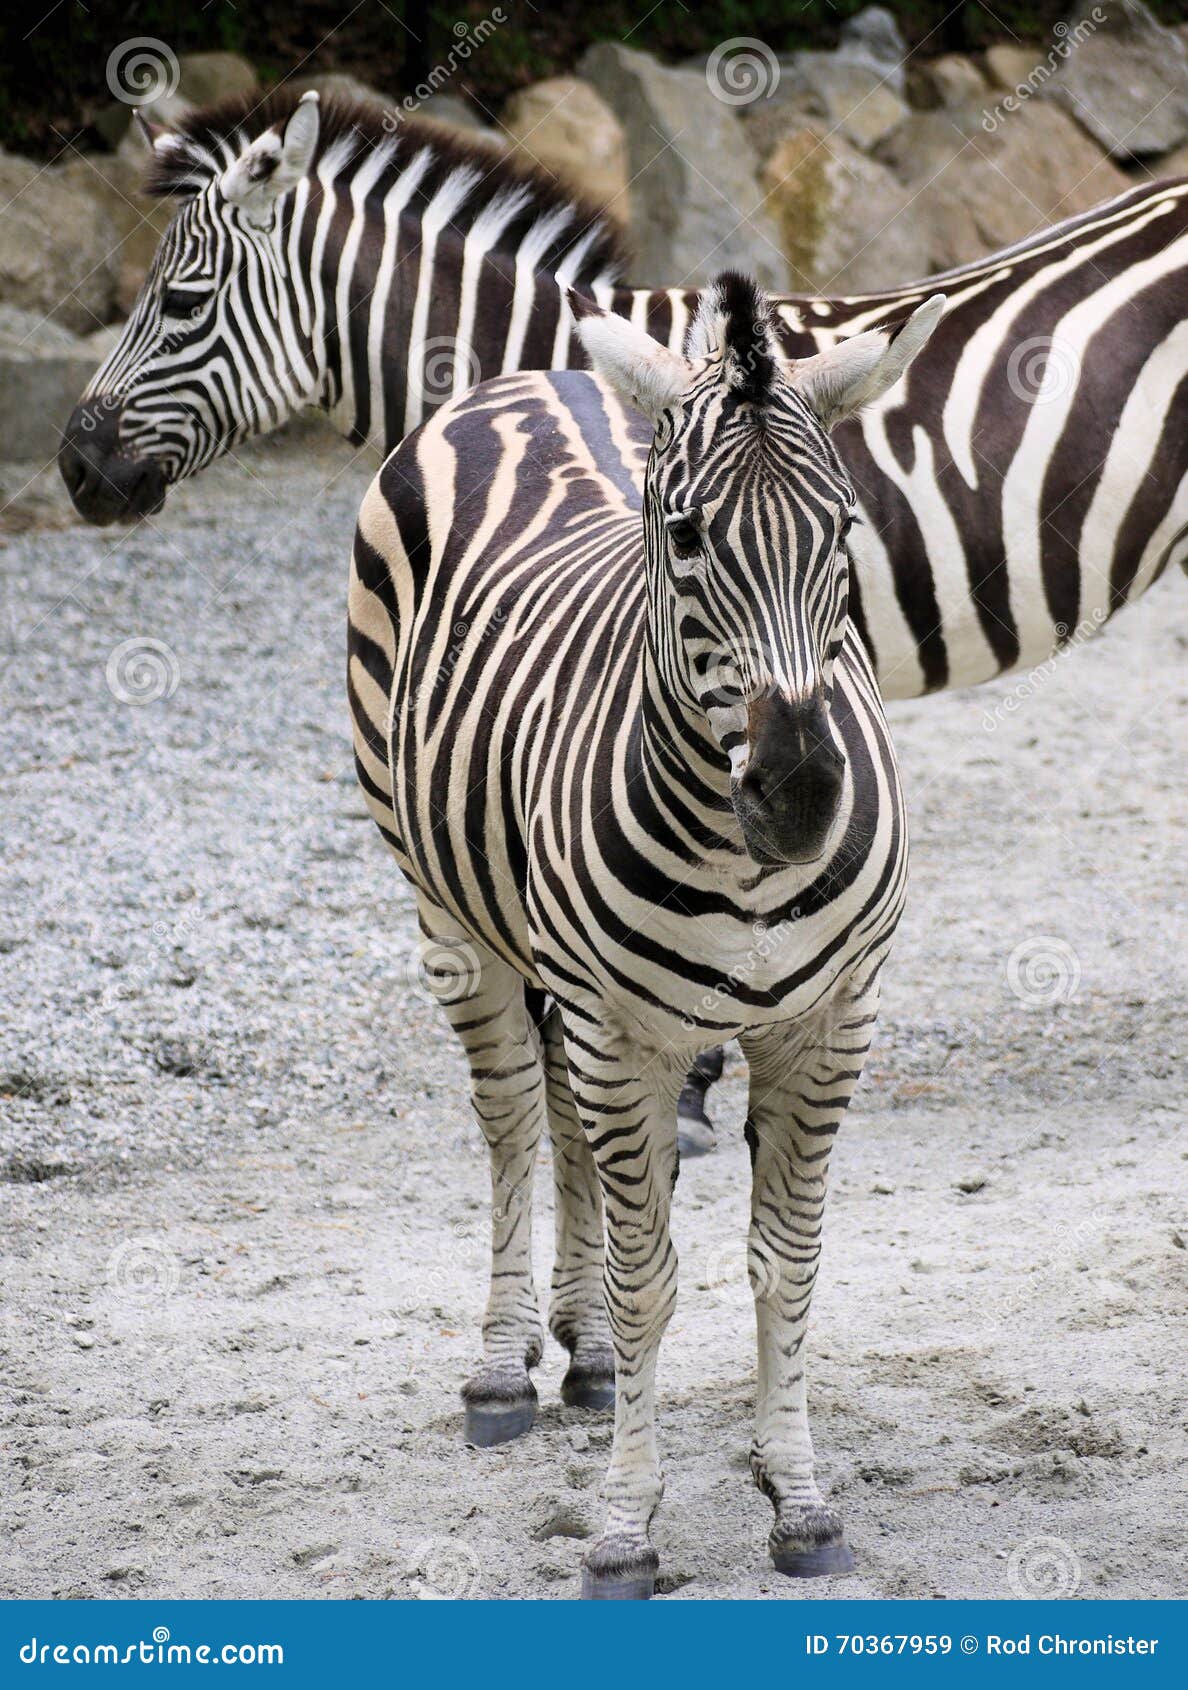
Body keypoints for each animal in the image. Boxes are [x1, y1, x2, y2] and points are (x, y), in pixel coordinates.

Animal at [347, 269, 944, 1597]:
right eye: (683, 537)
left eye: (843, 533)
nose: (800, 792)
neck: (744, 867)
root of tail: (539, 373)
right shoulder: (627, 1030)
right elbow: (649, 1278)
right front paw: (626, 1523)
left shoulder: (828, 1025)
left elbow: (786, 1260)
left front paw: (799, 1496)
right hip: (455, 918)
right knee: (516, 1117)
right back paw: (508, 1364)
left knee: (565, 1125)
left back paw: (581, 1358)